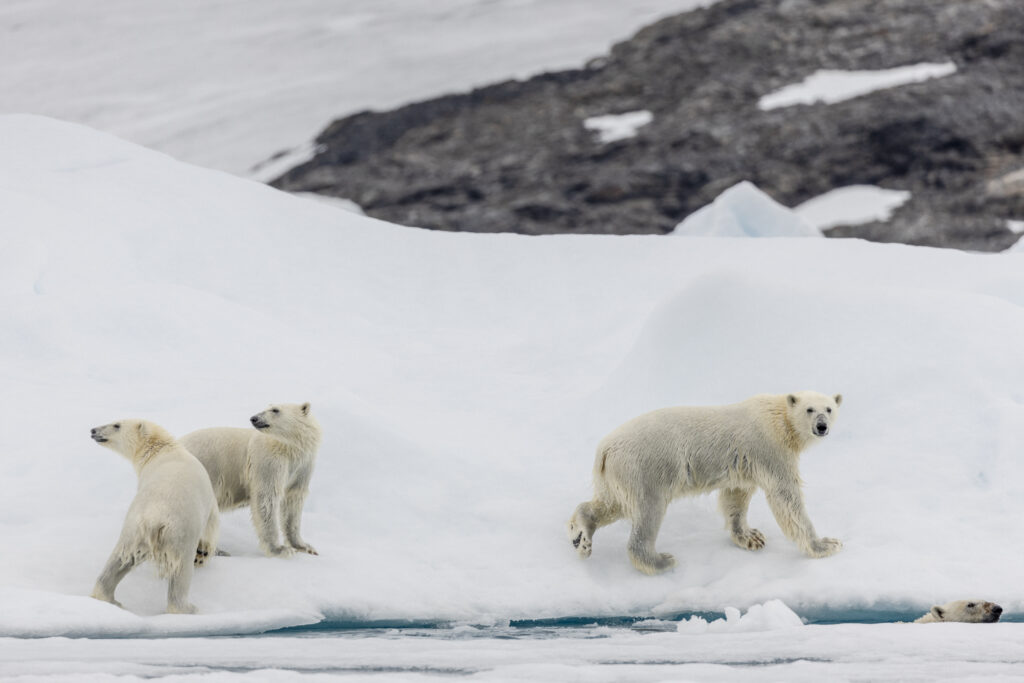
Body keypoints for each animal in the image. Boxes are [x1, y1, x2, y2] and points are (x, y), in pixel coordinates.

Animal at [89, 419, 219, 614]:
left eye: (116, 425)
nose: (93, 430)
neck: (162, 450)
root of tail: (154, 520)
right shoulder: (207, 499)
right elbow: (212, 522)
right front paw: (204, 552)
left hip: (133, 528)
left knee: (119, 558)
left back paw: (109, 598)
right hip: (179, 534)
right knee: (181, 571)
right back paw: (188, 608)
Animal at [179, 403, 322, 558]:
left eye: (275, 410)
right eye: (269, 407)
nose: (254, 418)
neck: (289, 448)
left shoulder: (302, 466)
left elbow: (293, 502)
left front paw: (304, 547)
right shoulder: (268, 461)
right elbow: (266, 498)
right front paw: (280, 549)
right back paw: (215, 550)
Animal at [568, 391, 843, 574]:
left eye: (829, 409)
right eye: (809, 409)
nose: (821, 426)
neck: (779, 418)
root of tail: (605, 449)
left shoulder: (743, 463)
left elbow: (736, 496)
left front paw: (751, 537)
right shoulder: (769, 448)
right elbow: (786, 499)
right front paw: (826, 545)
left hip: (617, 475)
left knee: (611, 504)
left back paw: (581, 537)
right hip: (645, 469)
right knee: (647, 512)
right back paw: (661, 561)